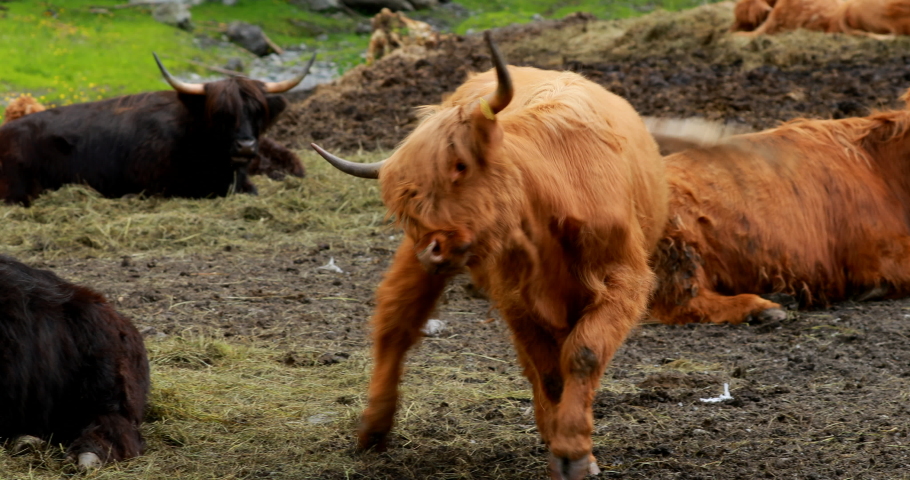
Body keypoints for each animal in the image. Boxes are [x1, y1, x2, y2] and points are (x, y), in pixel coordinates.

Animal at [311, 31, 668, 480]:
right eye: (406, 201)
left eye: (460, 165)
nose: (433, 248)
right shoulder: (516, 296)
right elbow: (550, 372)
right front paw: (565, 449)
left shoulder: (625, 279)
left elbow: (583, 355)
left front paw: (574, 453)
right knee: (395, 324)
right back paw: (374, 428)